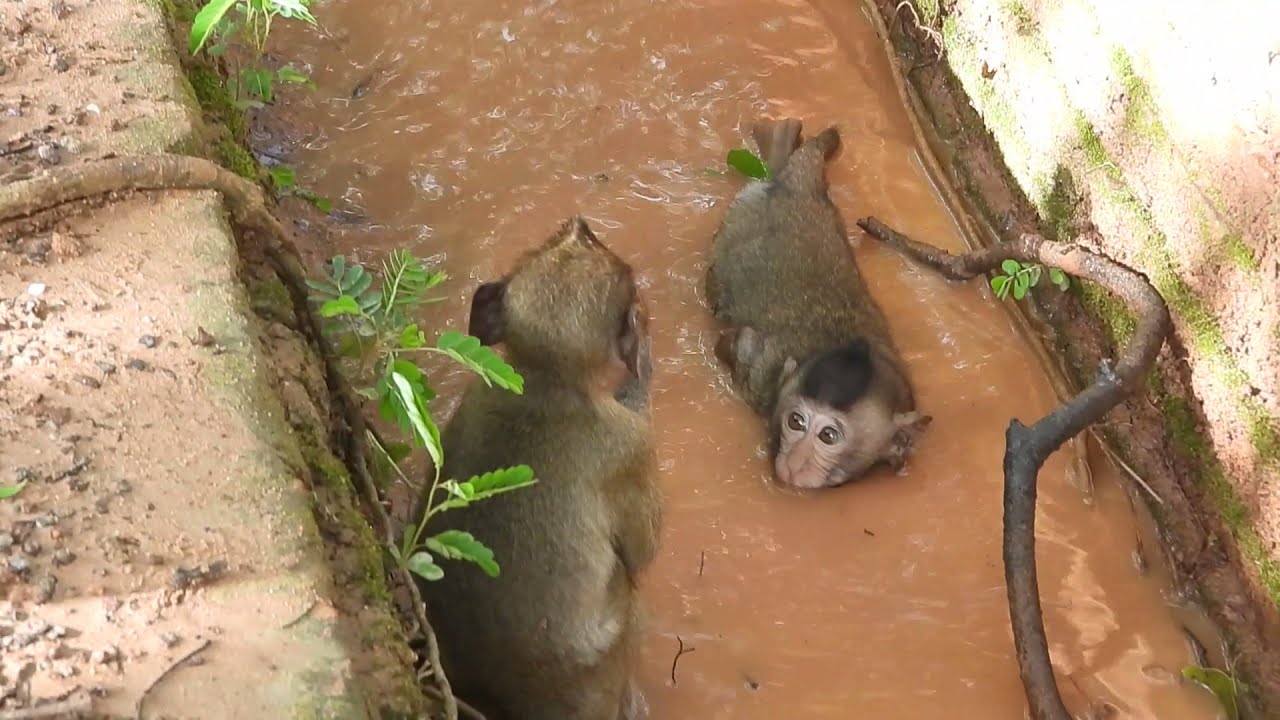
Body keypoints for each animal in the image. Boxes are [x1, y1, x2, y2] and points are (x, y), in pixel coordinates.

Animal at [705, 118, 931, 490]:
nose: (795, 462)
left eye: (828, 436)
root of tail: (799, 189)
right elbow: (735, 343)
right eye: (795, 421)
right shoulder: (761, 373)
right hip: (741, 216)